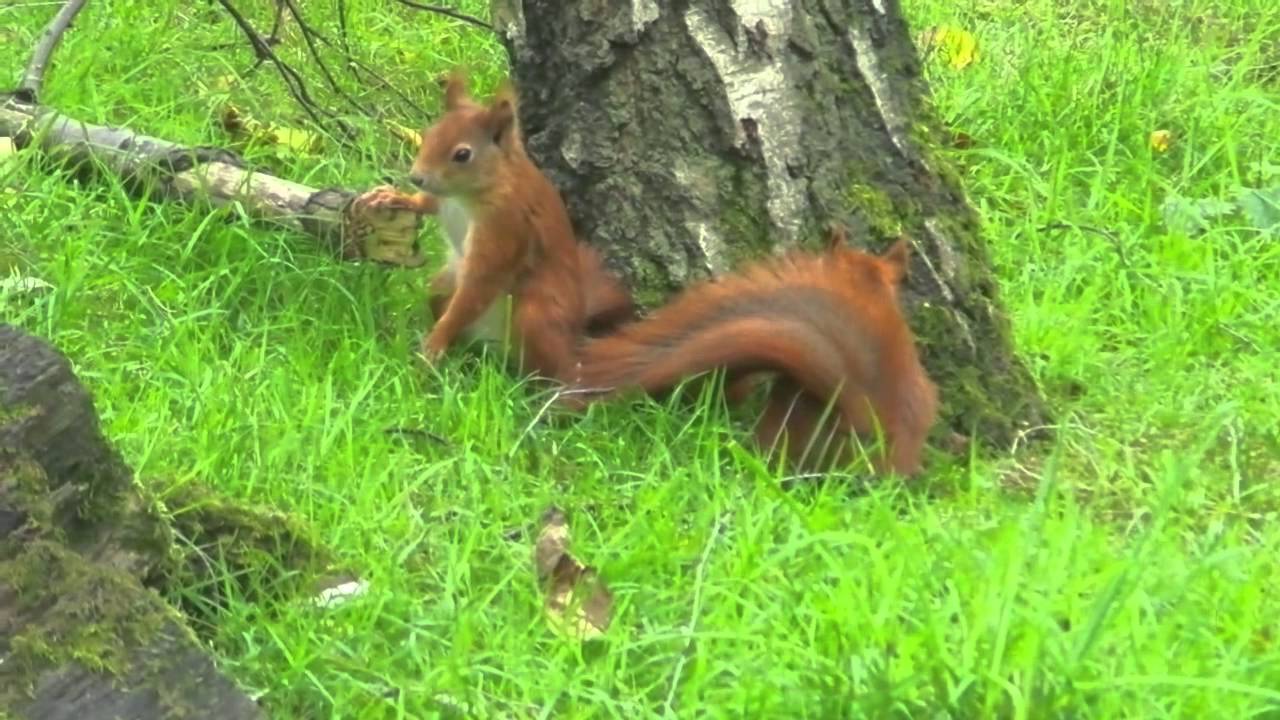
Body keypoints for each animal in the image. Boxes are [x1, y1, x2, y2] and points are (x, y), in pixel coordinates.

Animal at [365, 70, 633, 377]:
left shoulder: (505, 227)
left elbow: (481, 284)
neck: (467, 195)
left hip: (535, 317)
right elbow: (429, 202)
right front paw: (397, 196)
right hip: (445, 285)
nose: (416, 177)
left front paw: (436, 341)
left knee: (554, 362)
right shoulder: (445, 201)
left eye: (462, 154)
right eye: (428, 134)